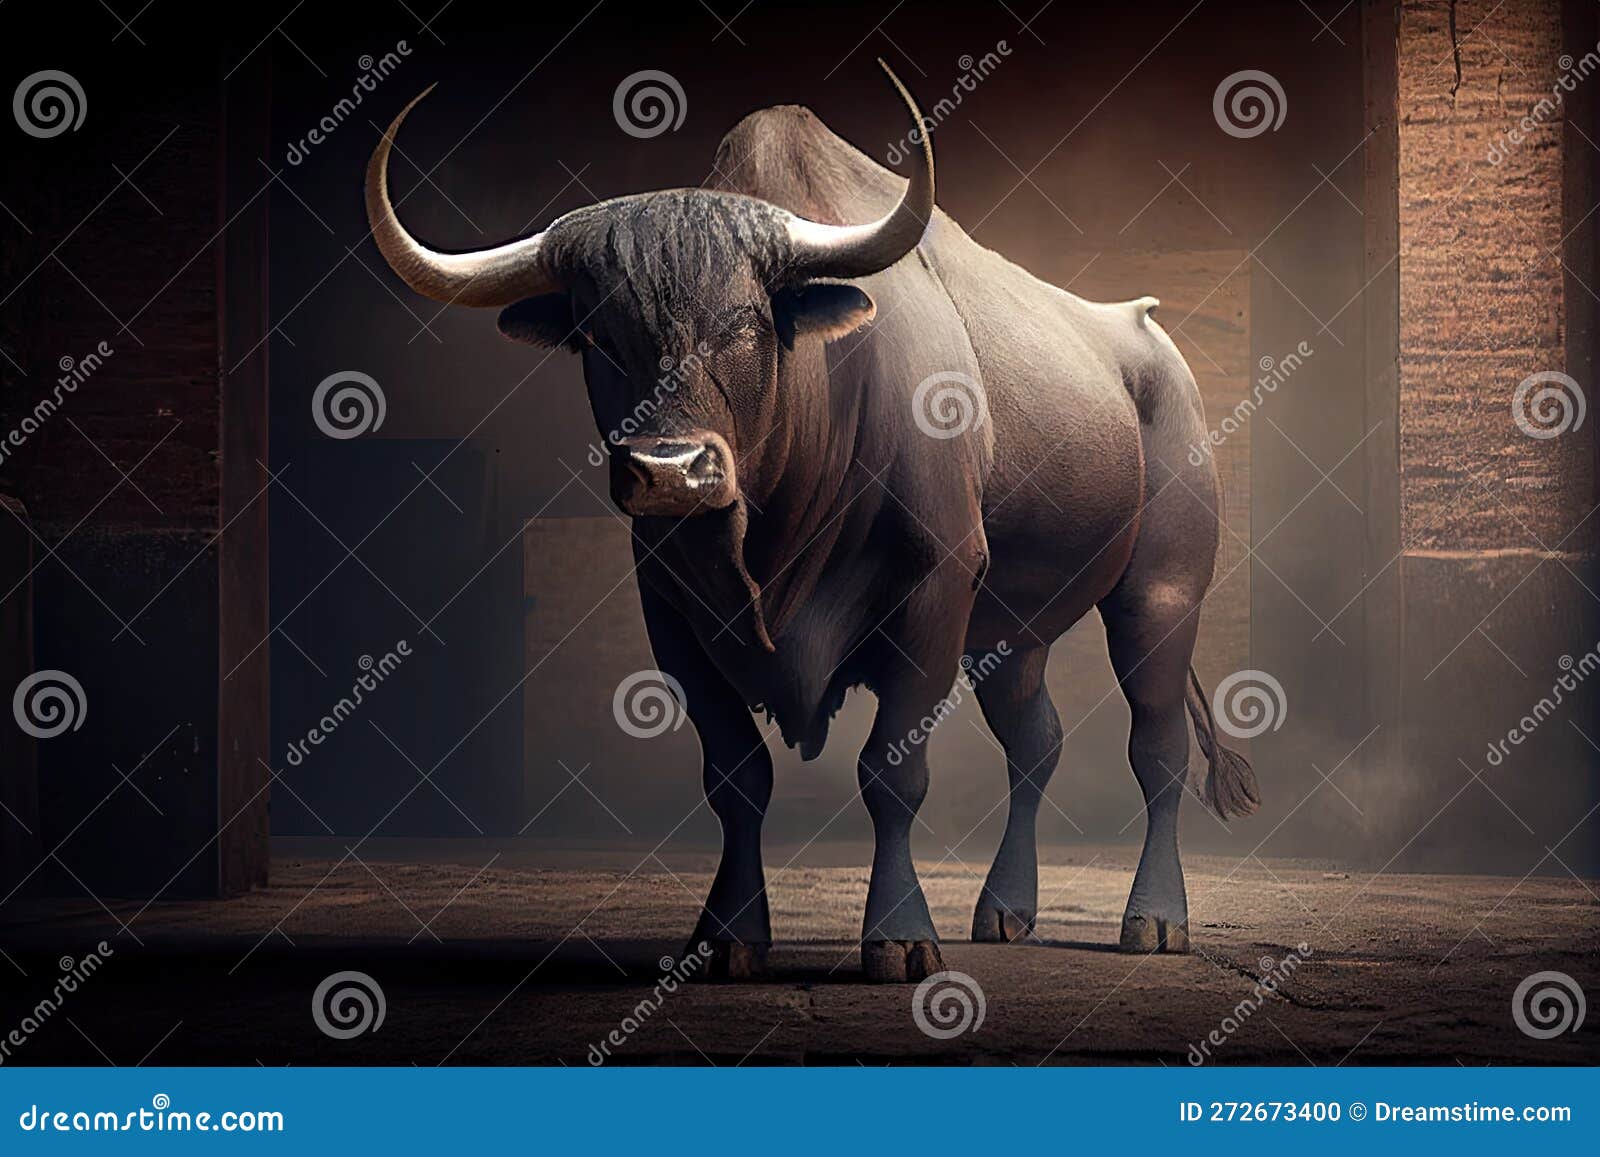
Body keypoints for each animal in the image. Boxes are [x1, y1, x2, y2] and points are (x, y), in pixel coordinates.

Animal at [365, 63, 1259, 983]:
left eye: (746, 324)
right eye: (598, 337)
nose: (668, 471)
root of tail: (1152, 346)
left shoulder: (934, 595)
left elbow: (892, 774)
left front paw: (898, 934)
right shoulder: (672, 616)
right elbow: (736, 777)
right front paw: (728, 934)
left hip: (1160, 595)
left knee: (1156, 748)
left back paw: (1154, 918)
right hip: (1015, 630)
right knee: (1035, 741)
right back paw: (1004, 911)